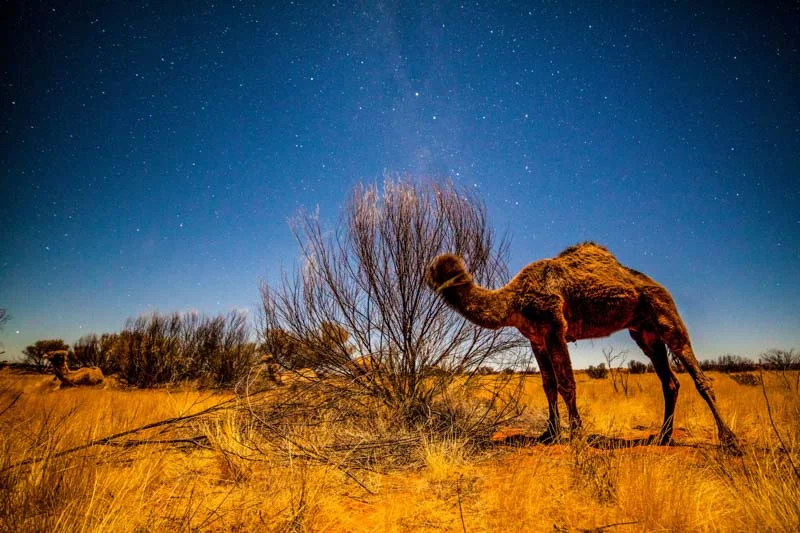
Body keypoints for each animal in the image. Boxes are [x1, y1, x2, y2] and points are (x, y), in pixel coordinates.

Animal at [427, 242, 741, 453]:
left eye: (435, 271)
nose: (427, 278)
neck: (514, 298)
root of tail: (659, 286)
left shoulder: (554, 327)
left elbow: (567, 383)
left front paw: (576, 436)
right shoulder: (535, 338)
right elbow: (549, 385)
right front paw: (549, 434)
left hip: (666, 315)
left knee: (698, 375)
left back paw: (730, 440)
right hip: (644, 332)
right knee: (670, 381)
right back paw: (663, 437)